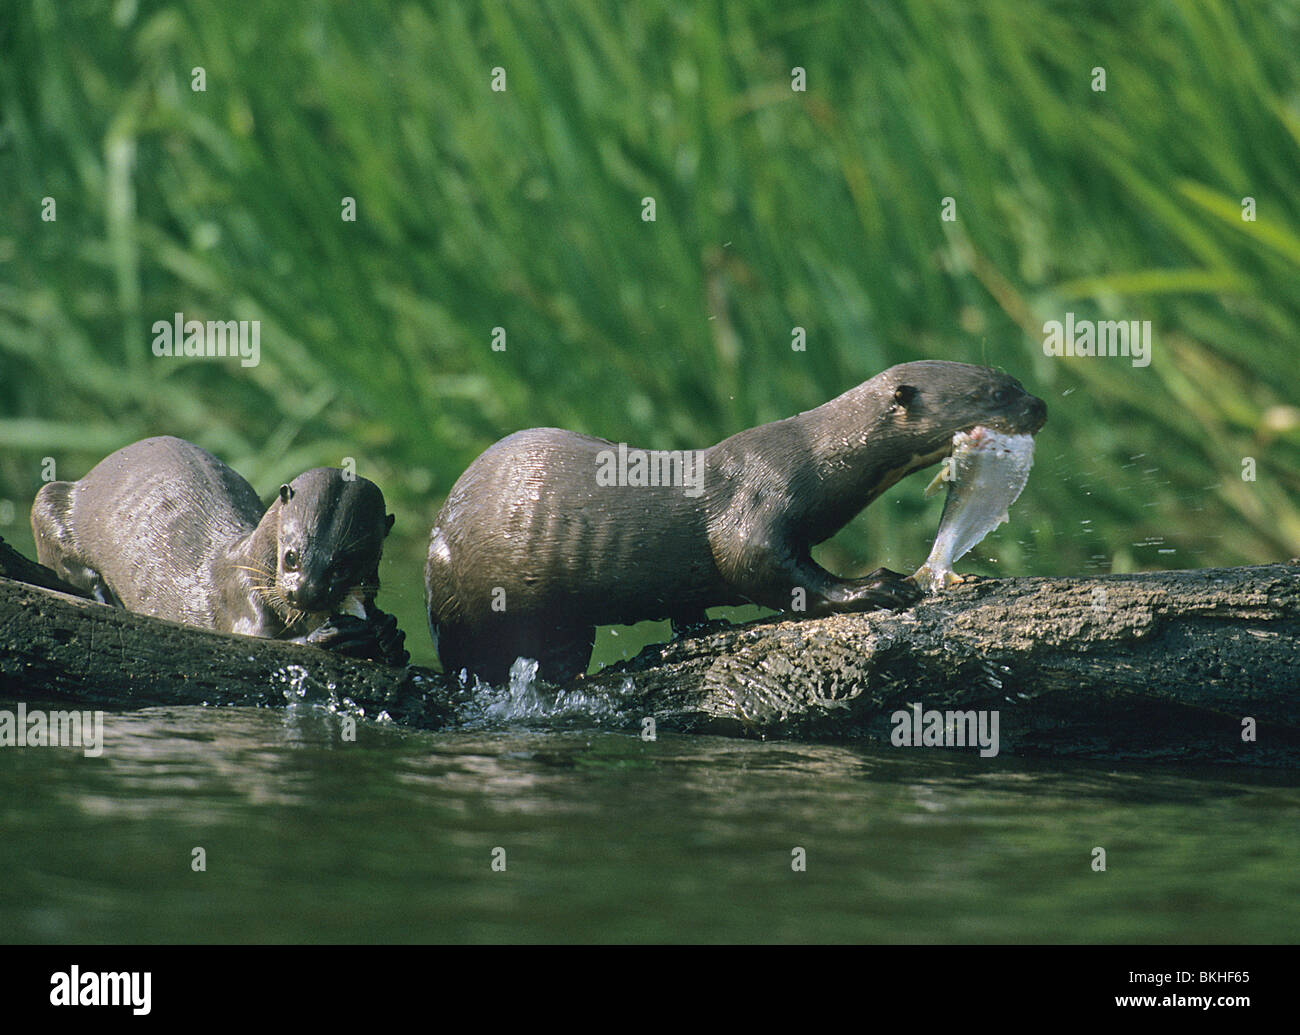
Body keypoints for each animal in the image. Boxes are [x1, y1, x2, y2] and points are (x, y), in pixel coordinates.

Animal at [31, 436, 407, 665]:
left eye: (342, 567)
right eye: (291, 556)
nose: (304, 593)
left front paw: (389, 634)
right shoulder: (241, 594)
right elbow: (261, 642)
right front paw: (341, 635)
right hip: (52, 498)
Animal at [426, 360, 1046, 684]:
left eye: (1015, 379)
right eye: (995, 392)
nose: (1040, 406)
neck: (816, 458)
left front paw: (699, 626)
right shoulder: (760, 499)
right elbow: (760, 567)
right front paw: (878, 586)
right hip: (460, 592)